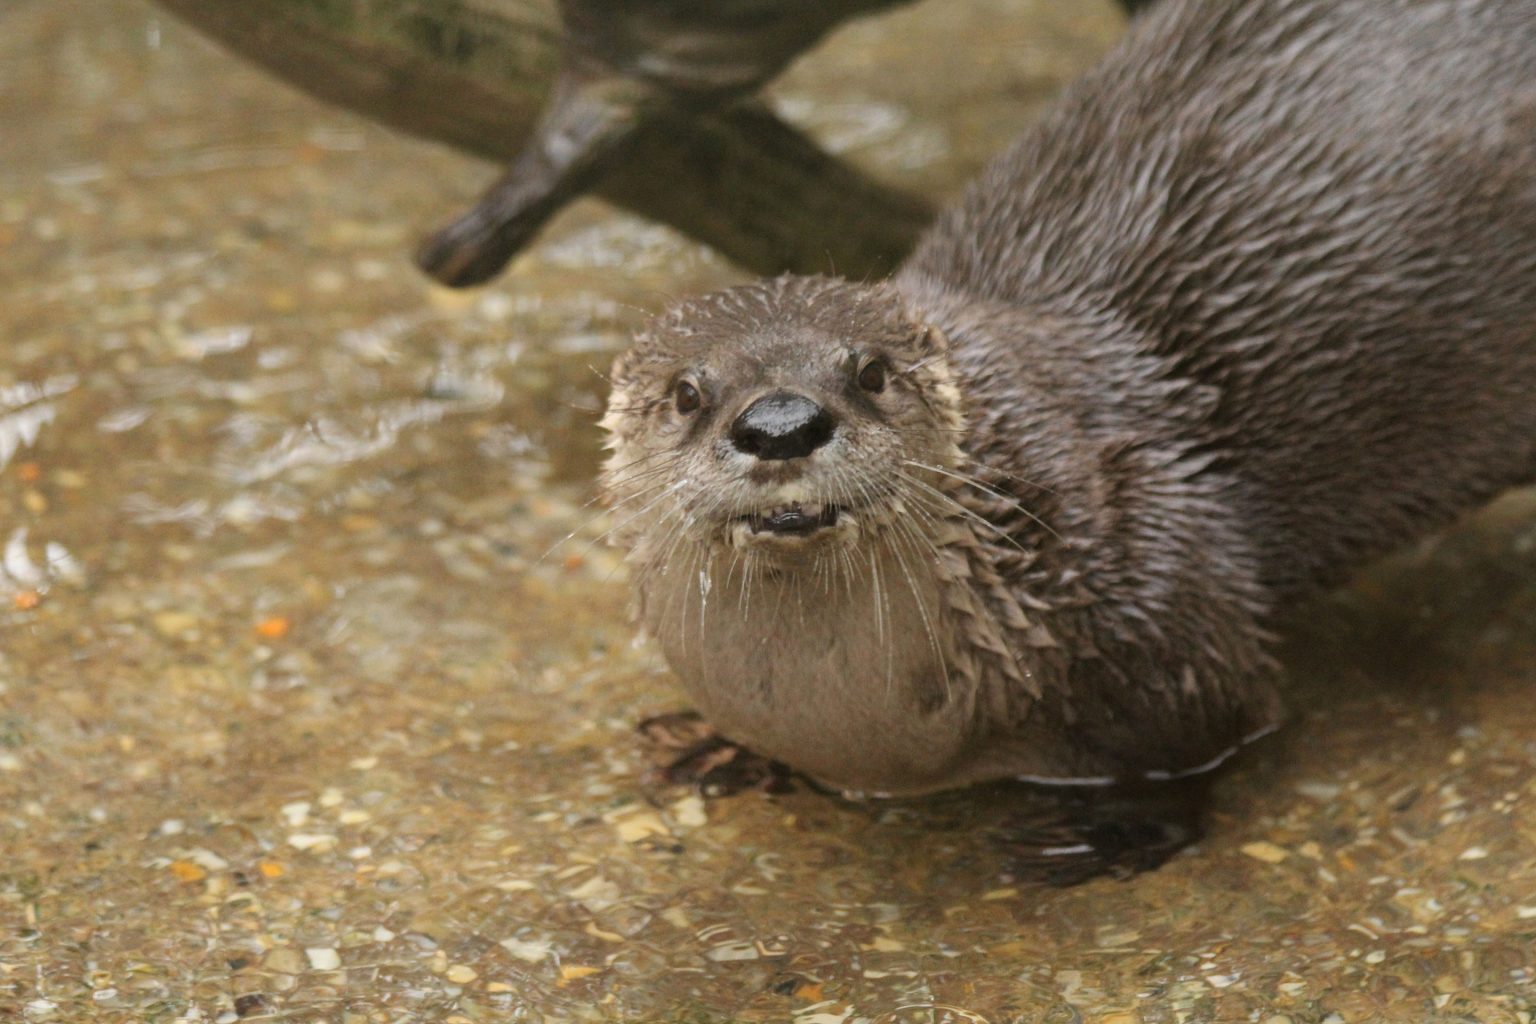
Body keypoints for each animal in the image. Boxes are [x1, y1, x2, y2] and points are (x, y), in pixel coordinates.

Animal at [600, 0, 1536, 799]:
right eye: (688, 392)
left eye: (869, 372)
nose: (782, 422)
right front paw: (716, 748)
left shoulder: (1159, 564)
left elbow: (1207, 724)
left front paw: (1105, 830)